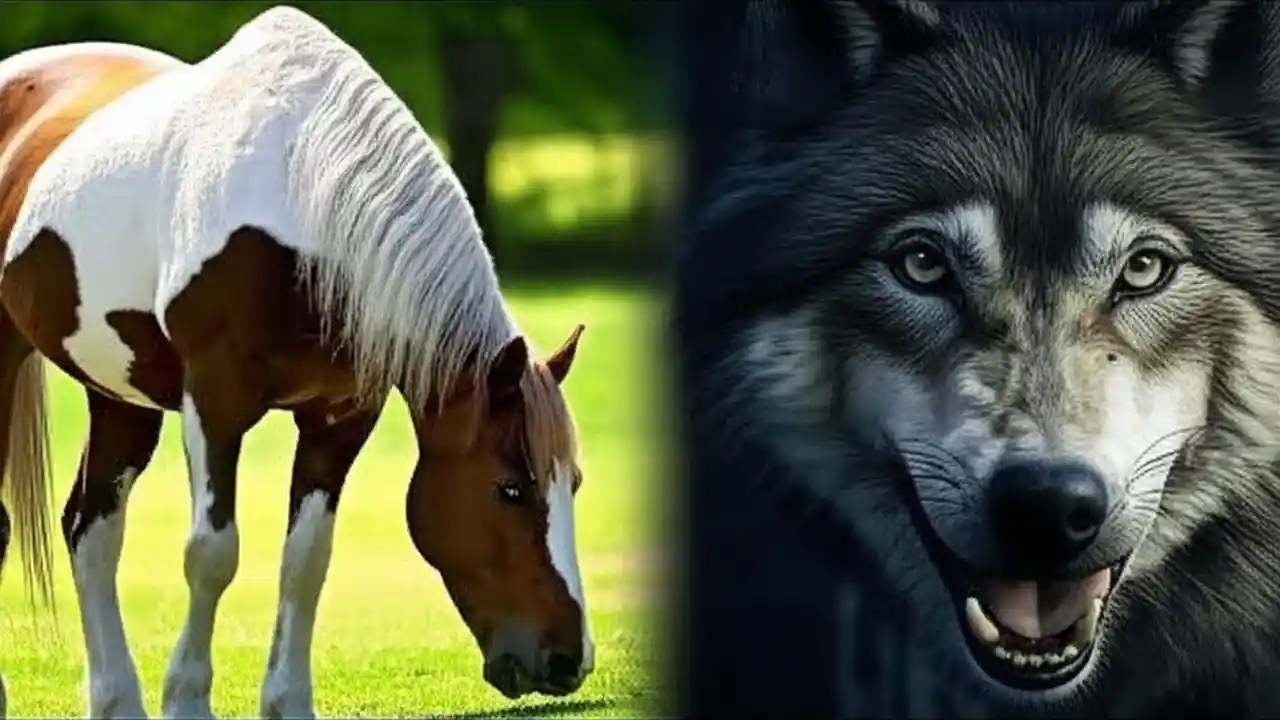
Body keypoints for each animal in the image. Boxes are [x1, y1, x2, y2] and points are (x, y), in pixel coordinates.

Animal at [0, 7, 593, 718]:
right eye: (509, 488)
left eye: (573, 483)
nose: (568, 661)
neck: (302, 204)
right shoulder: (215, 404)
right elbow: (212, 554)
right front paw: (188, 699)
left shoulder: (341, 415)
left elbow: (306, 559)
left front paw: (288, 701)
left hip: (119, 395)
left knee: (91, 529)